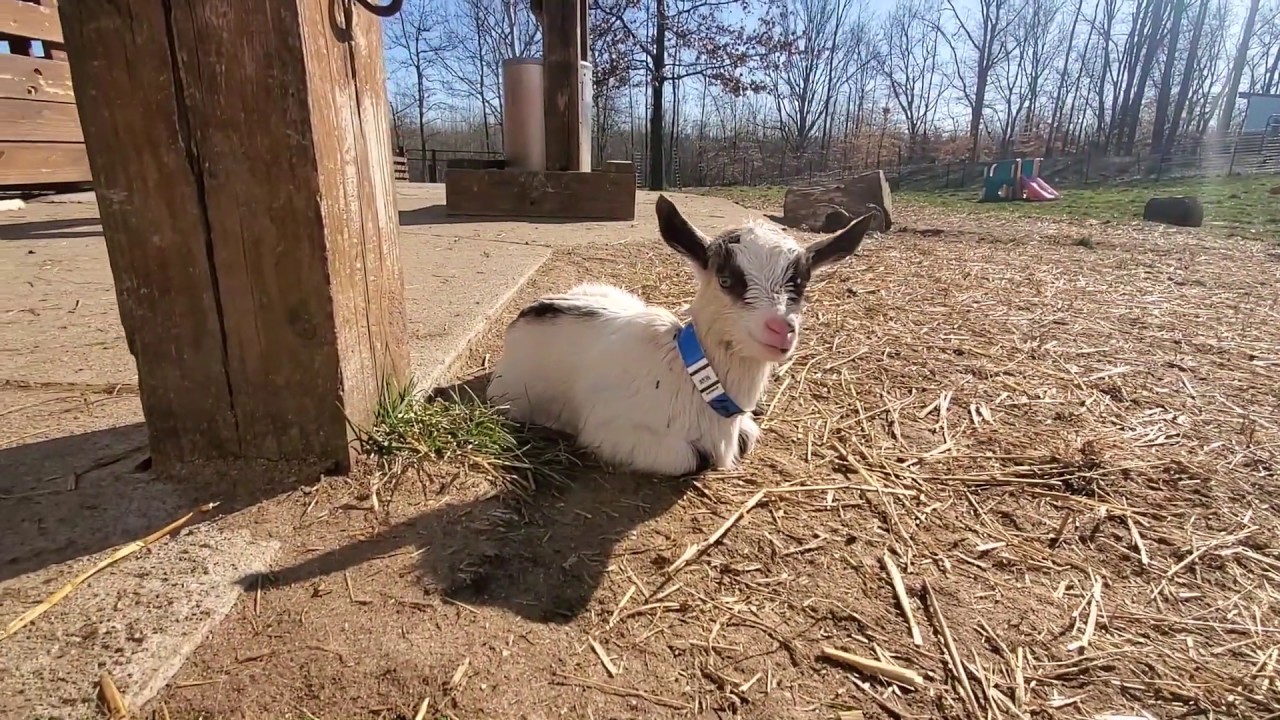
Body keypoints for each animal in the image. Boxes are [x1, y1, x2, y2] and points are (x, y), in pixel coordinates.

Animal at [485, 195, 876, 476]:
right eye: (725, 279)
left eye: (801, 283)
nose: (781, 329)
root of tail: (530, 309)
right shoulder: (609, 432)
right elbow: (690, 458)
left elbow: (750, 435)